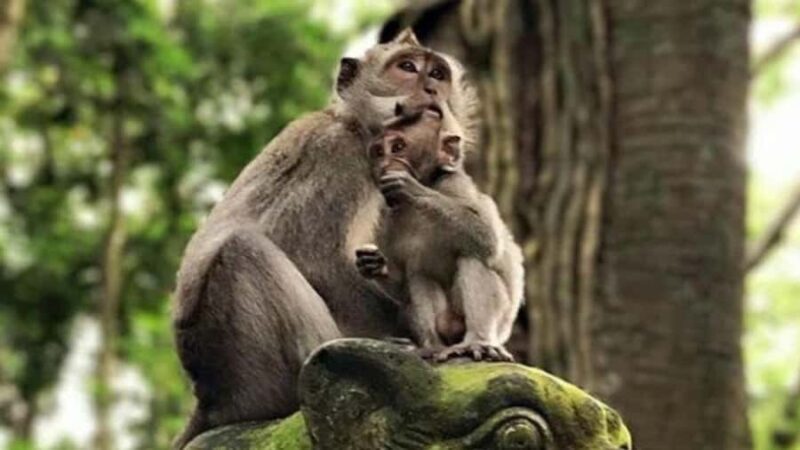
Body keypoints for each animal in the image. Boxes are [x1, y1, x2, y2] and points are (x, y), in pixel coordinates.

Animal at [170, 29, 489, 448]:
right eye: (407, 67)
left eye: (438, 73)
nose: (431, 88)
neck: (358, 127)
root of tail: (208, 398)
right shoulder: (337, 156)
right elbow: (314, 255)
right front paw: (417, 336)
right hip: (249, 370)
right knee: (244, 252)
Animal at [355, 107, 525, 363]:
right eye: (378, 152)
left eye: (398, 147)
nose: (384, 165)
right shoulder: (385, 216)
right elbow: (404, 282)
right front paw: (374, 264)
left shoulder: (454, 184)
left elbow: (487, 239)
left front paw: (412, 189)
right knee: (419, 274)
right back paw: (432, 347)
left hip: (497, 321)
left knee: (473, 255)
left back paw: (478, 342)